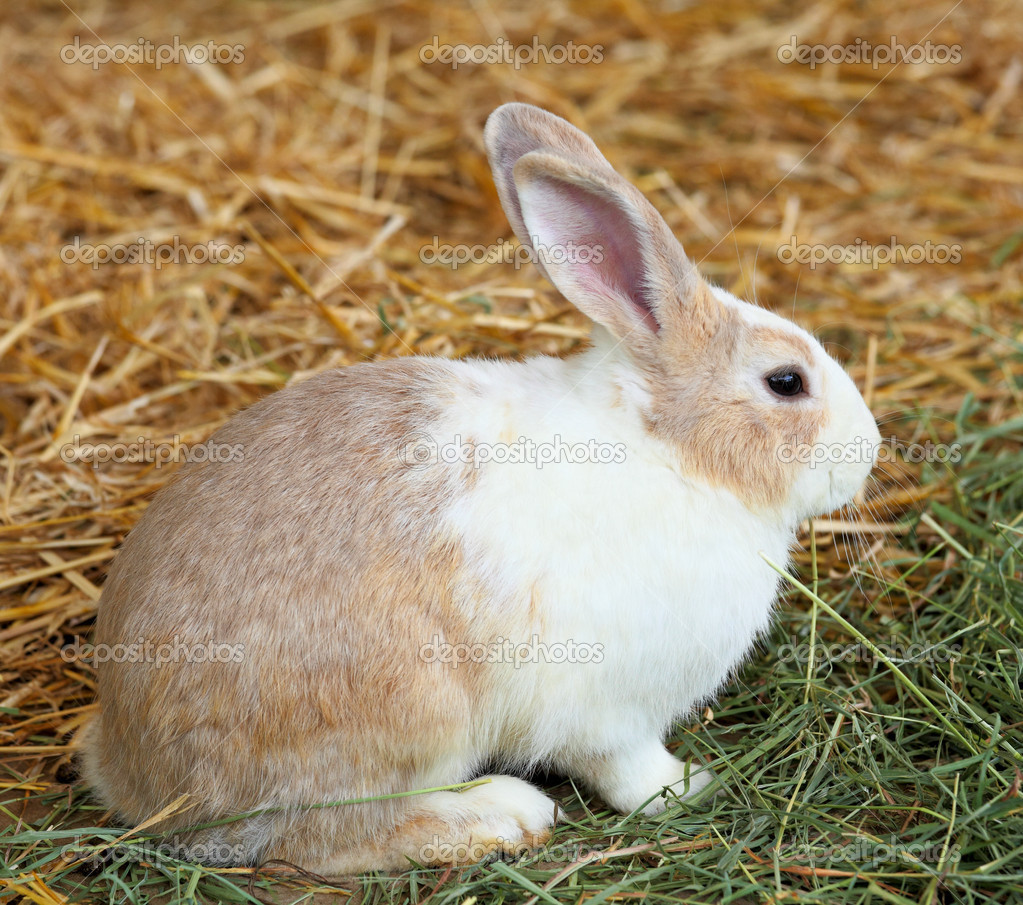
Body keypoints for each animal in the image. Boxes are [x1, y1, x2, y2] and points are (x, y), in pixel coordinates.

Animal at [78, 102, 881, 875]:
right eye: (786, 382)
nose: (869, 449)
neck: (670, 448)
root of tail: (137, 775)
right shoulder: (610, 712)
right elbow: (627, 770)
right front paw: (687, 787)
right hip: (413, 714)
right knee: (326, 837)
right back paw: (502, 815)